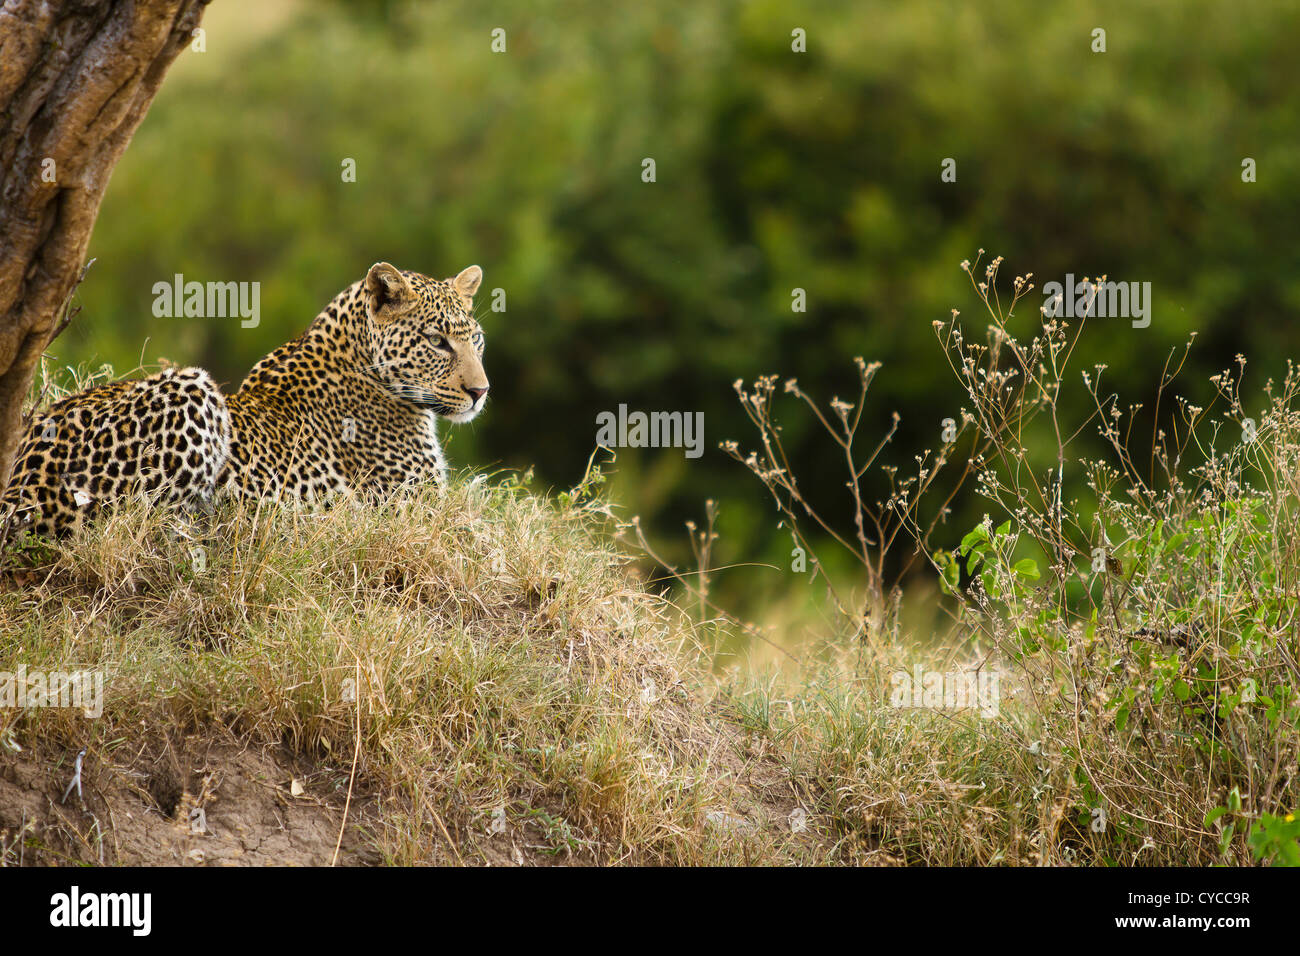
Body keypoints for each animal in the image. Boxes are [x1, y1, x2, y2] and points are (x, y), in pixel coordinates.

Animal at [0, 262, 489, 540]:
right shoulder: (416, 507)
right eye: (437, 341)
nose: (480, 392)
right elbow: (471, 524)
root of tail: (22, 480)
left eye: (476, 339)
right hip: (193, 389)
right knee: (141, 520)